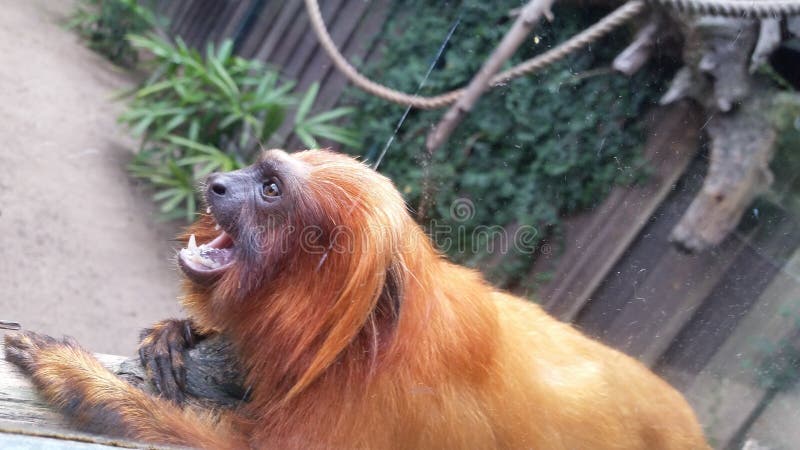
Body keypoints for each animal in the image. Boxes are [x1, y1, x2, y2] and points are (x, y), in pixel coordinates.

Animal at [5, 149, 710, 449]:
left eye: (269, 190)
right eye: (249, 171)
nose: (218, 182)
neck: (357, 335)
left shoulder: (372, 399)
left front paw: (78, 377)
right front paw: (178, 334)